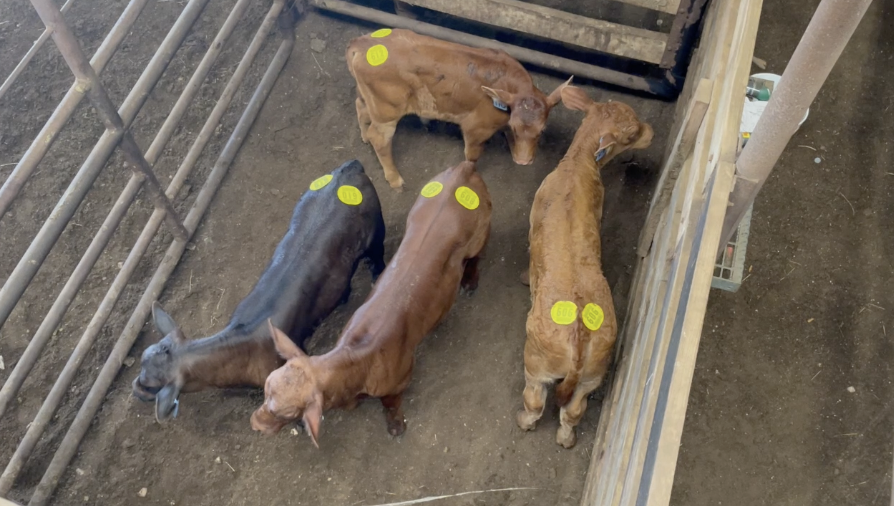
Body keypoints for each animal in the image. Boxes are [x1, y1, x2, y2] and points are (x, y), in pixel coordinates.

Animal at [132, 160, 386, 421]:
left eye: (150, 385)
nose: (135, 390)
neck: (243, 345)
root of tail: (347, 168)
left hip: (376, 230)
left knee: (377, 254)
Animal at [251, 161, 491, 445]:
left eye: (286, 413)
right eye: (266, 388)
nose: (255, 424)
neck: (357, 360)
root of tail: (463, 169)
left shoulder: (400, 379)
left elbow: (391, 405)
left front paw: (396, 426)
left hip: (482, 231)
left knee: (476, 257)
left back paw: (470, 282)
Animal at [346, 28, 571, 189]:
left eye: (542, 130)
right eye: (516, 127)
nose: (524, 162)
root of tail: (363, 42)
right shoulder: (476, 128)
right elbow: (472, 155)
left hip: (370, 99)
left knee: (360, 107)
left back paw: (364, 136)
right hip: (387, 110)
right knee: (379, 139)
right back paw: (394, 179)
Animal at [517, 87, 653, 448]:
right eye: (632, 132)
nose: (650, 132)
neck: (577, 162)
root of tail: (579, 336)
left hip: (536, 363)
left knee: (535, 401)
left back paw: (525, 422)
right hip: (594, 374)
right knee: (574, 410)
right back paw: (567, 439)